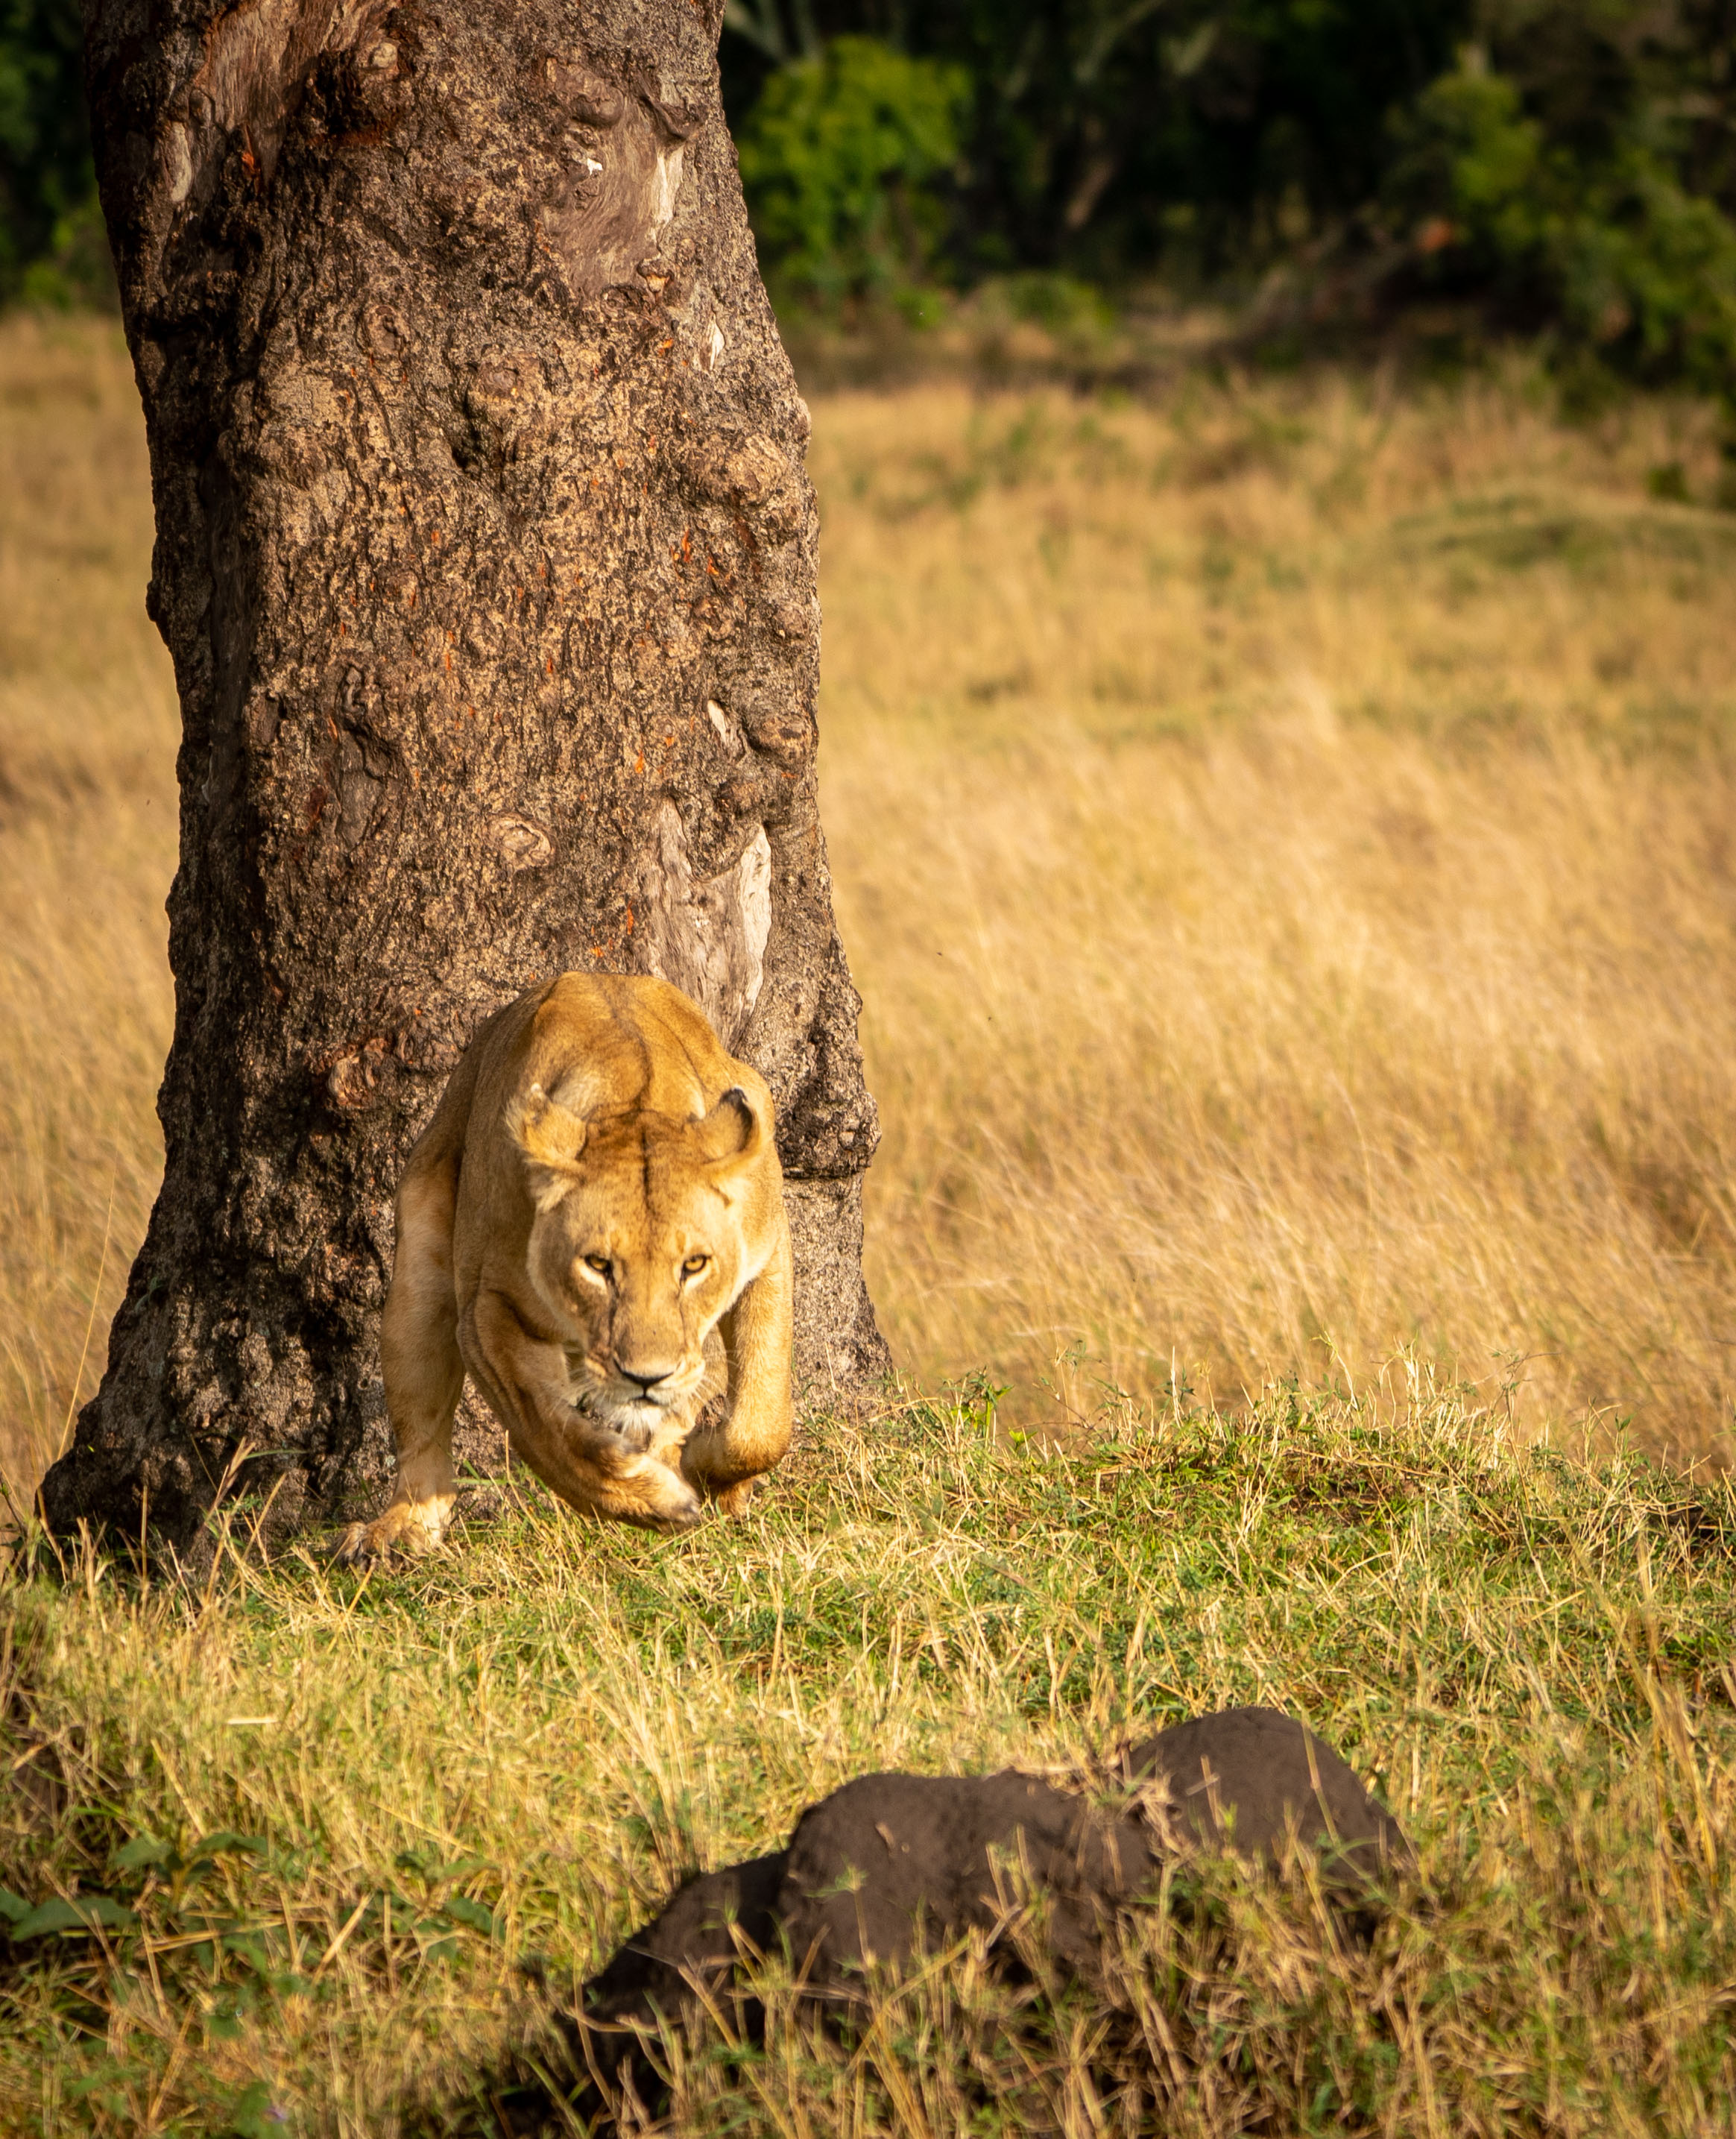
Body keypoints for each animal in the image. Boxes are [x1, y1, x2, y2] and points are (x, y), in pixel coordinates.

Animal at [333, 972, 793, 1559]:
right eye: (597, 1265)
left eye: (694, 1265)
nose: (648, 1377)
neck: (632, 1104)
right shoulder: (487, 1307)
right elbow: (544, 1427)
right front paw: (652, 1500)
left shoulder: (768, 1245)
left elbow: (762, 1422)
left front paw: (709, 1474)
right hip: (418, 1260)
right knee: (421, 1426)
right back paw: (398, 1530)